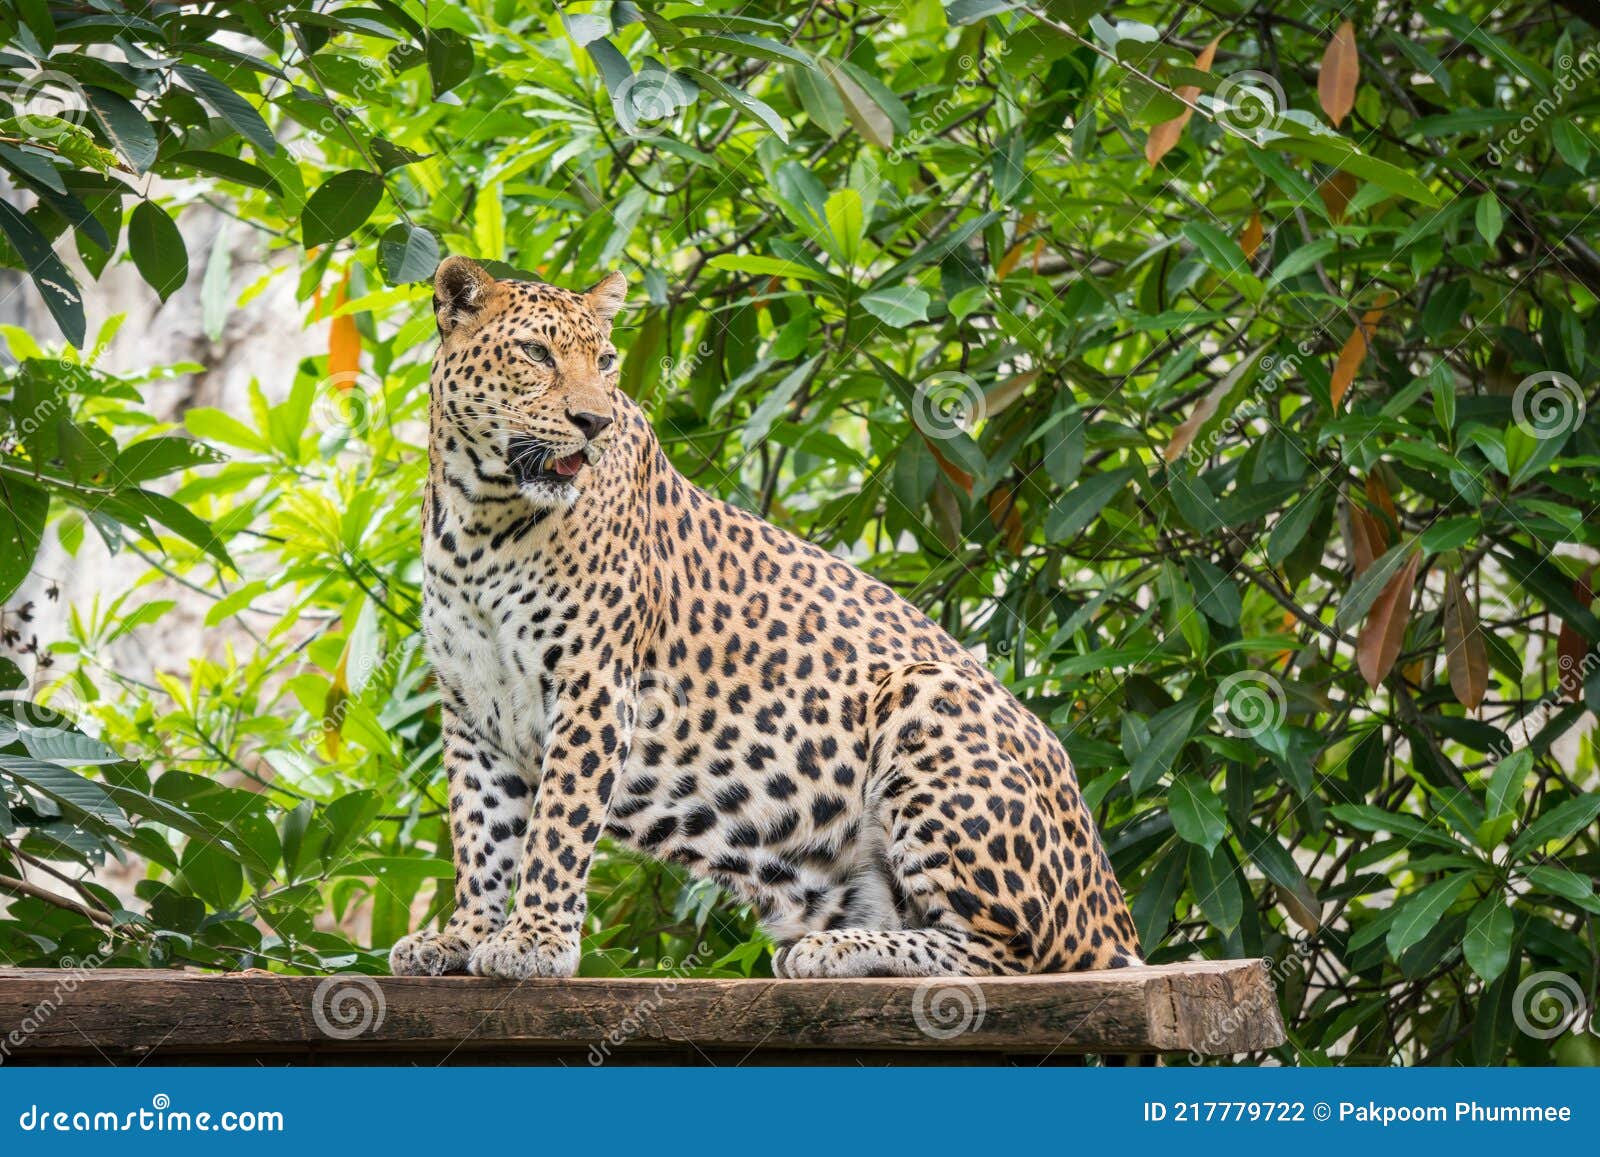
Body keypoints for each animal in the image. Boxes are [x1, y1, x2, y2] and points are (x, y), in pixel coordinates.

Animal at [388, 256, 1142, 981]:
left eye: (604, 362)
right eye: (536, 354)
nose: (593, 423)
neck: (481, 517)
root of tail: (1116, 918)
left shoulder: (592, 686)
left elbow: (557, 824)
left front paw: (535, 940)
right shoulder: (472, 706)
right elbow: (482, 833)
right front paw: (464, 935)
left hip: (926, 696)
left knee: (1011, 947)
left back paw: (837, 952)